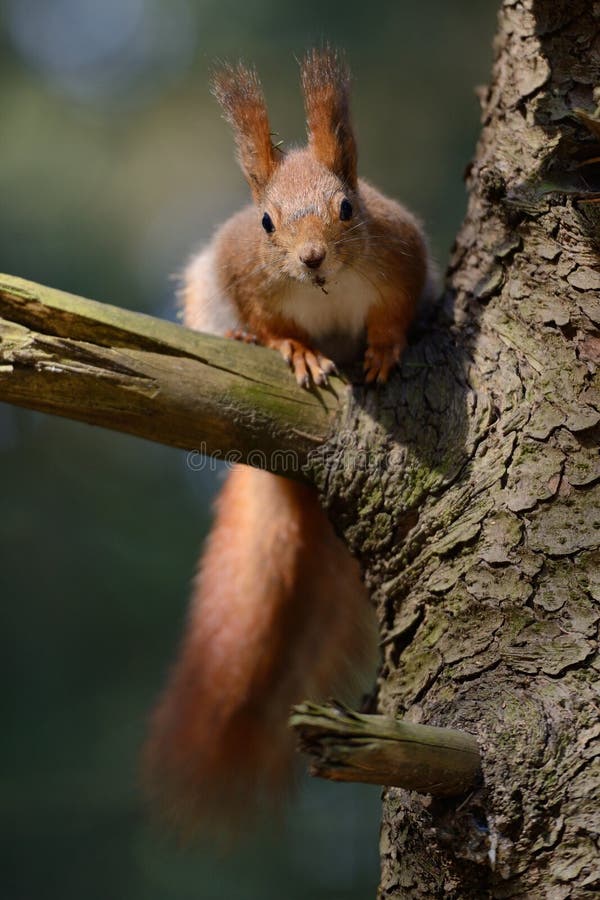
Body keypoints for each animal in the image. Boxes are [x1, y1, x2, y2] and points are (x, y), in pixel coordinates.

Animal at [143, 48, 431, 832]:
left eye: (347, 208)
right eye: (268, 221)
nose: (311, 259)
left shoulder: (403, 260)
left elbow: (394, 314)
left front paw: (385, 350)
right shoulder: (243, 275)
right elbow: (273, 325)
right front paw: (291, 349)